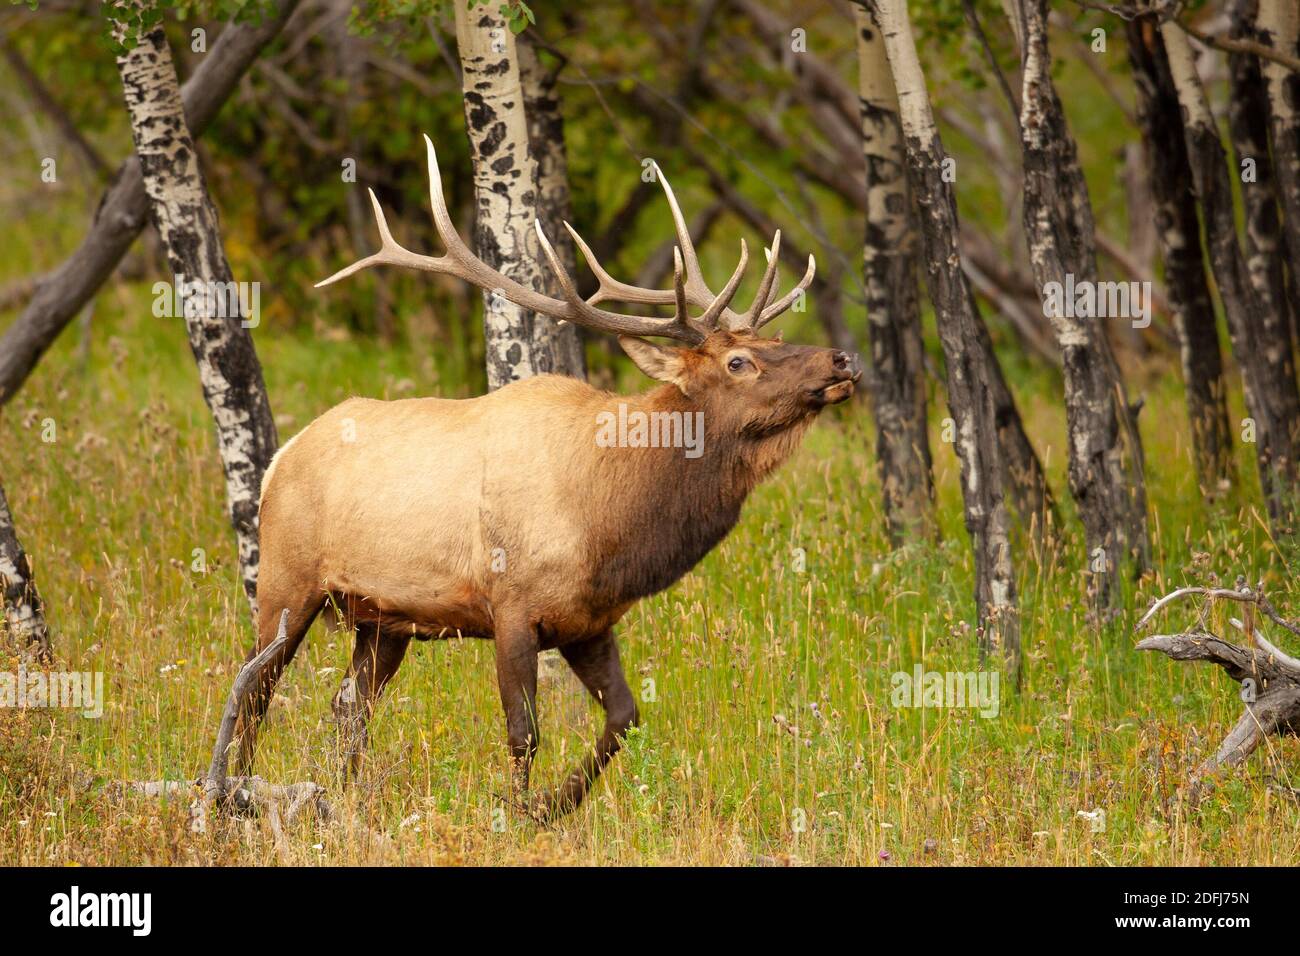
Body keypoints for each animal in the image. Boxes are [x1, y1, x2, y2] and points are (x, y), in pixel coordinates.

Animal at [232, 135, 861, 821]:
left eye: (775, 338)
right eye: (739, 361)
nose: (841, 358)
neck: (610, 524)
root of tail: (281, 457)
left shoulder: (589, 620)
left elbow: (625, 718)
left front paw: (554, 806)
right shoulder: (511, 603)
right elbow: (524, 731)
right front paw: (515, 813)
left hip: (382, 617)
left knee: (349, 704)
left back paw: (344, 797)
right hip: (288, 579)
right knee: (253, 694)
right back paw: (236, 794)